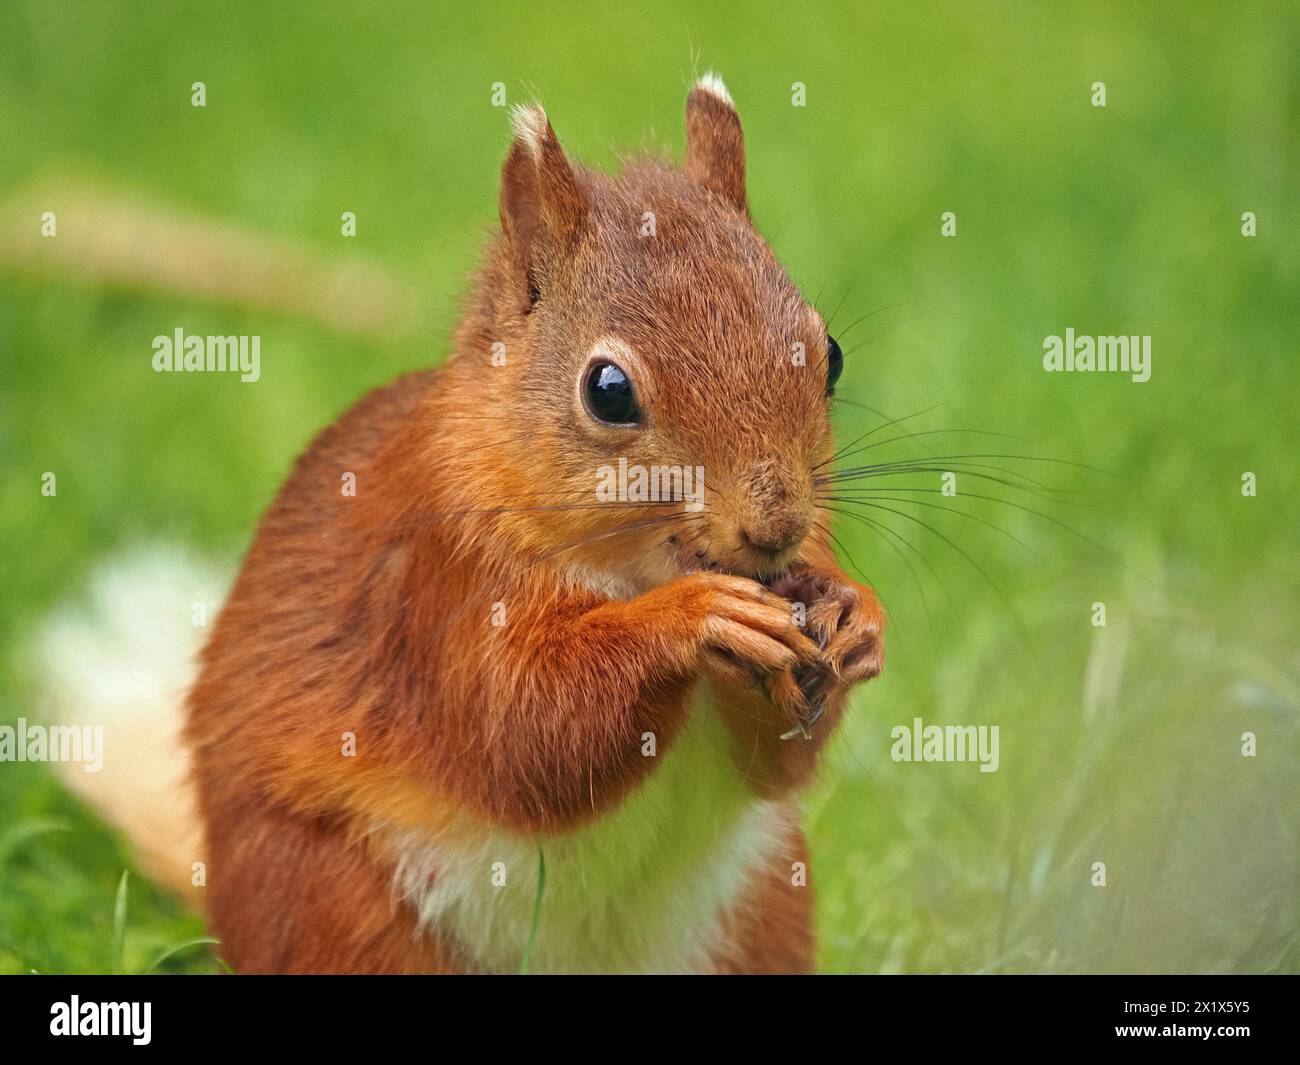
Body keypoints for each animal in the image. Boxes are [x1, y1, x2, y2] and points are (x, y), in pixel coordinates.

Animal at [182, 73, 884, 974]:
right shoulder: (440, 580)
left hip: (763, 908)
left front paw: (857, 615)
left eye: (828, 353)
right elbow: (523, 730)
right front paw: (696, 617)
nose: (777, 526)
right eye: (608, 390)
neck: (636, 570)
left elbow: (774, 765)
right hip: (337, 905)